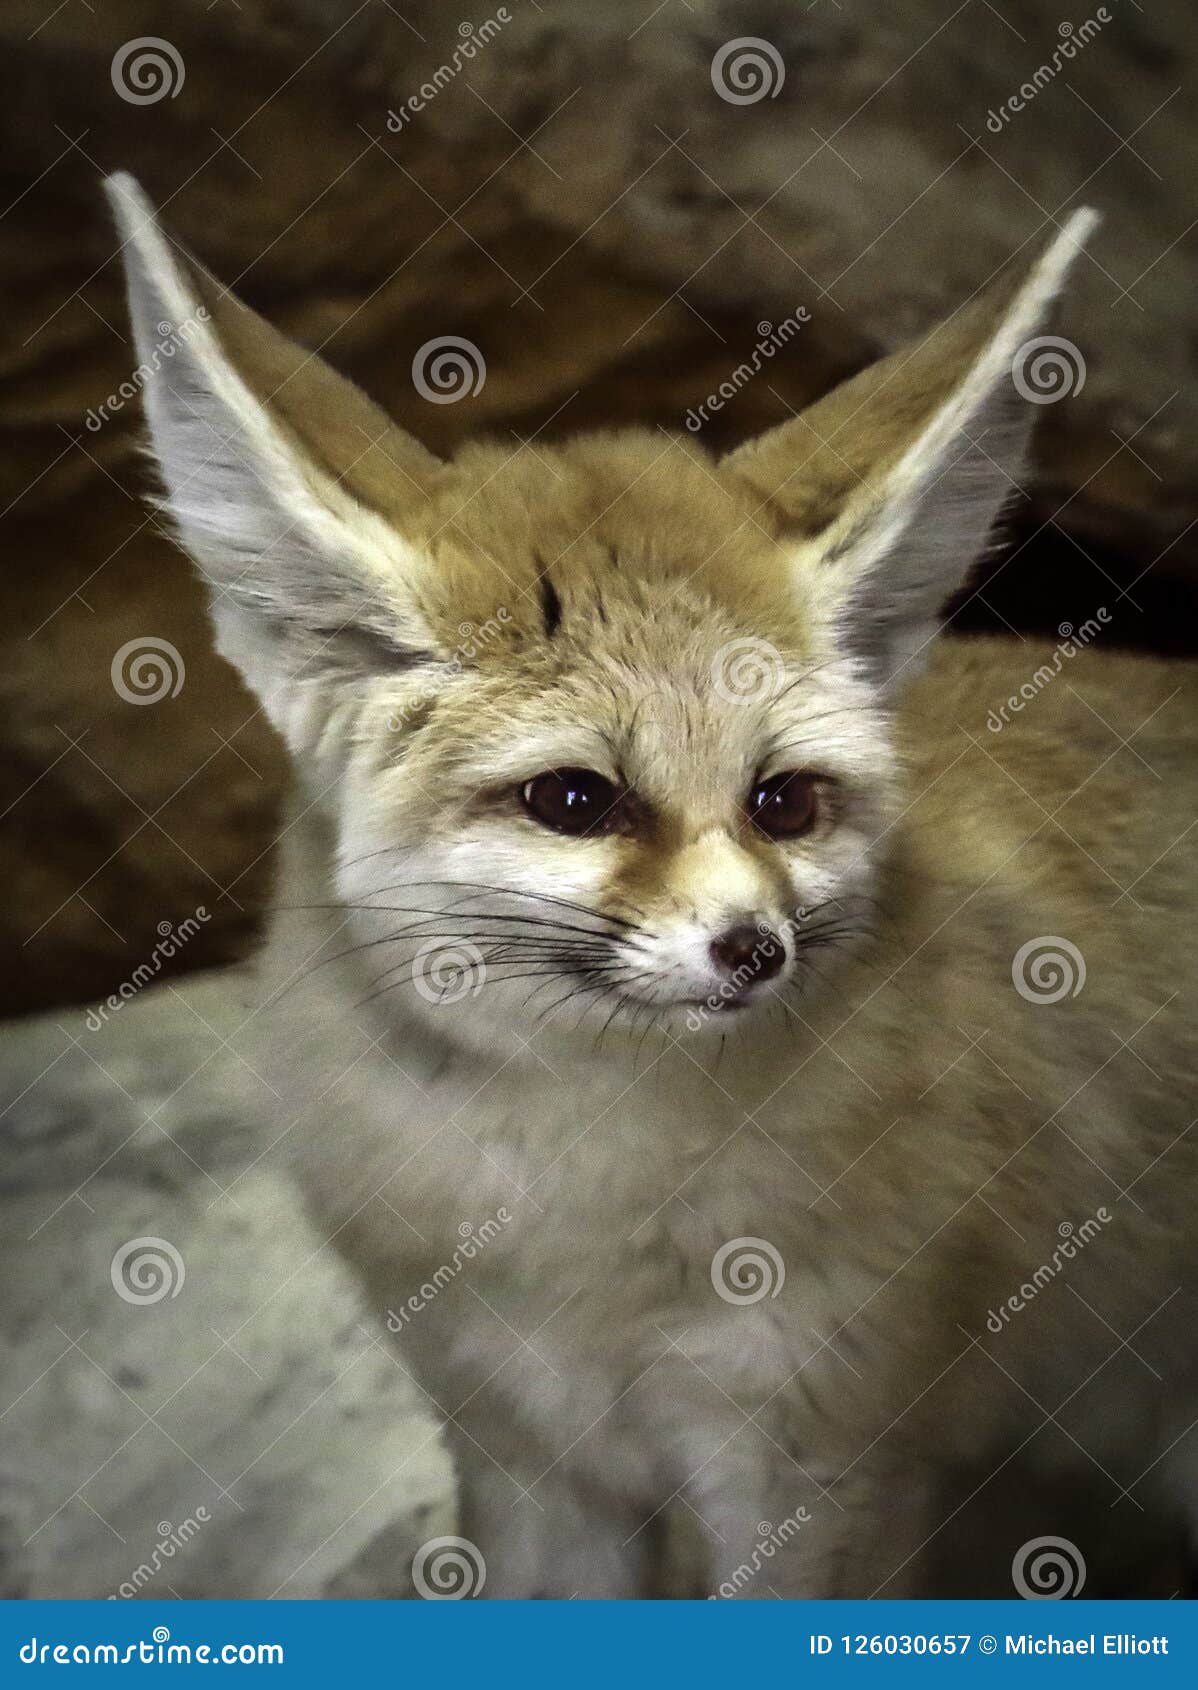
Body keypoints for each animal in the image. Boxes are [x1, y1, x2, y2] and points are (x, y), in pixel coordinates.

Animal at [105, 172, 1198, 1599]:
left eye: (782, 800)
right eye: (576, 800)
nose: (753, 949)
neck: (564, 1206)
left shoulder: (816, 1467)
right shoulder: (522, 1447)